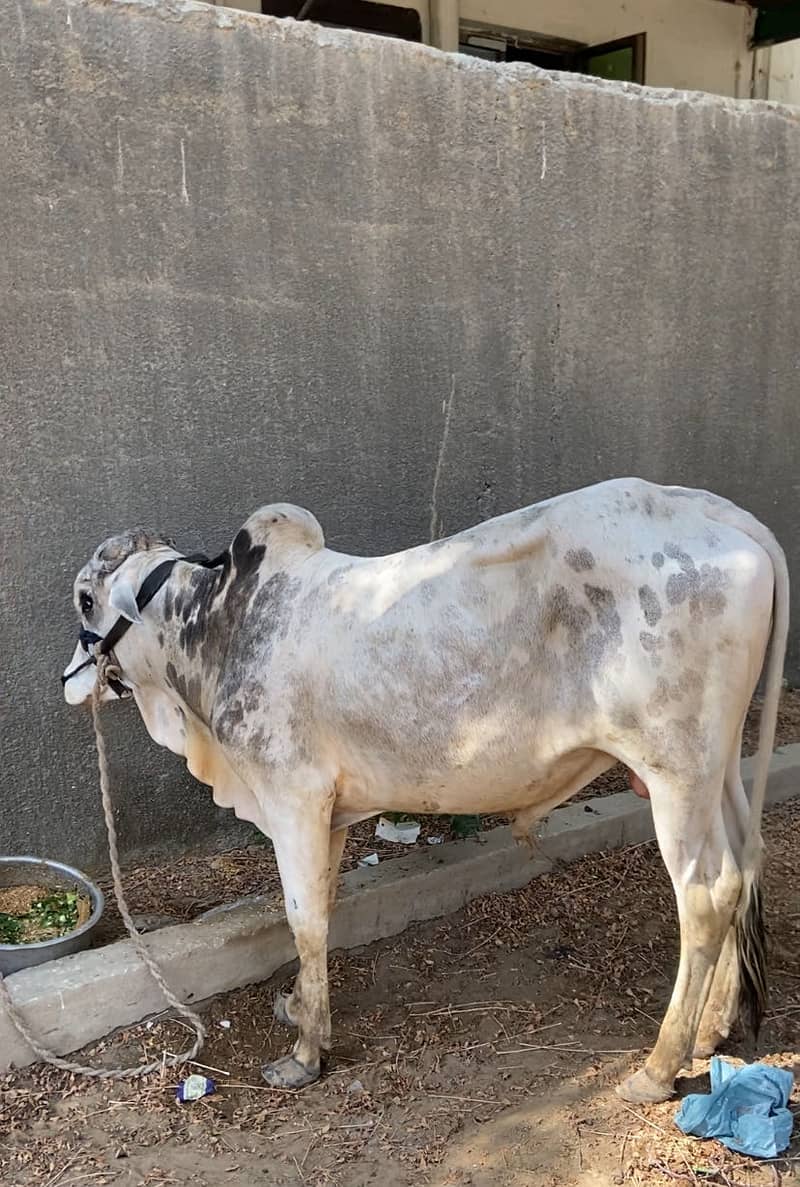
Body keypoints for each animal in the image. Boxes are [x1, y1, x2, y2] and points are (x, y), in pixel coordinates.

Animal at [62, 478, 788, 1101]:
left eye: (86, 599)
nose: (71, 679)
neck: (221, 625)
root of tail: (713, 512)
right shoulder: (329, 812)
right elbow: (323, 906)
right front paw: (300, 1006)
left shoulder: (292, 798)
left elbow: (303, 917)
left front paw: (305, 1055)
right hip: (716, 769)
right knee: (743, 869)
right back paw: (714, 1030)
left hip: (674, 774)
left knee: (706, 895)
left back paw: (659, 1066)